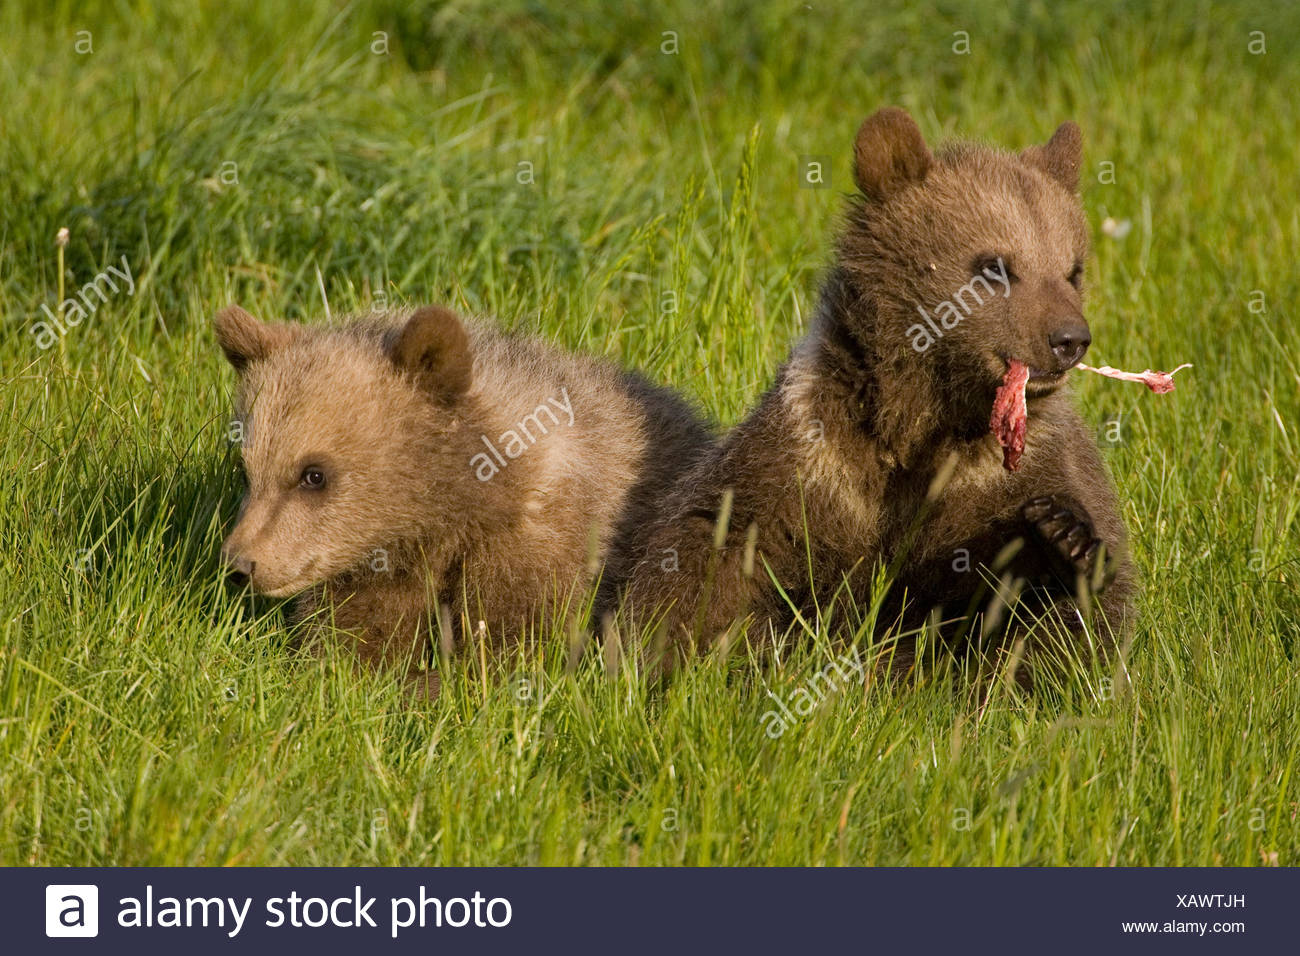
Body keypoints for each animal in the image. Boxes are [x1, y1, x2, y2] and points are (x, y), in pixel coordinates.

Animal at [215, 303, 712, 695]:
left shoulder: (550, 544)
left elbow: (513, 646)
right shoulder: (389, 565)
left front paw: (427, 684)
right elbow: (352, 638)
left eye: (313, 474)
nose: (242, 563)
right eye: (247, 469)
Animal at [614, 107, 1136, 686]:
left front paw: (1062, 536)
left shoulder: (1008, 478)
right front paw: (664, 656)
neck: (920, 418)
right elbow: (710, 550)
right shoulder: (814, 458)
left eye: (1073, 269)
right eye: (995, 265)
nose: (1069, 338)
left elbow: (1055, 617)